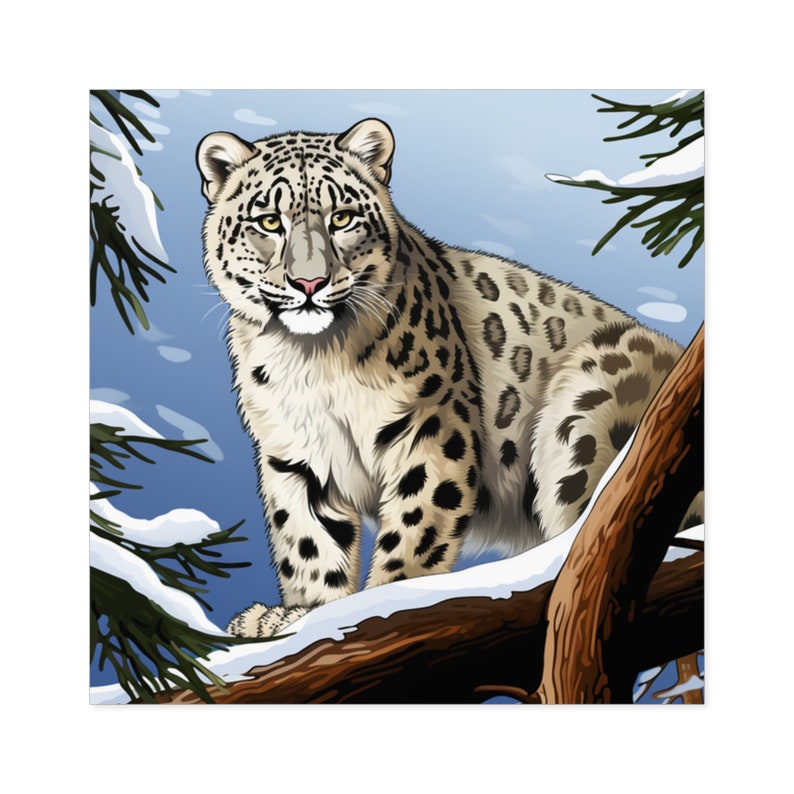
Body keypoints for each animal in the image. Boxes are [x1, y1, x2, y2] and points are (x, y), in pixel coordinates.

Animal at [196, 118, 688, 638]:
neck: (314, 360)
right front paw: (305, 615)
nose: (308, 283)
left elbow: (417, 522)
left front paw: (388, 597)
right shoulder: (294, 453)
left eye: (342, 218)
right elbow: (308, 542)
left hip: (594, 401)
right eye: (269, 222)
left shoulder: (429, 427)